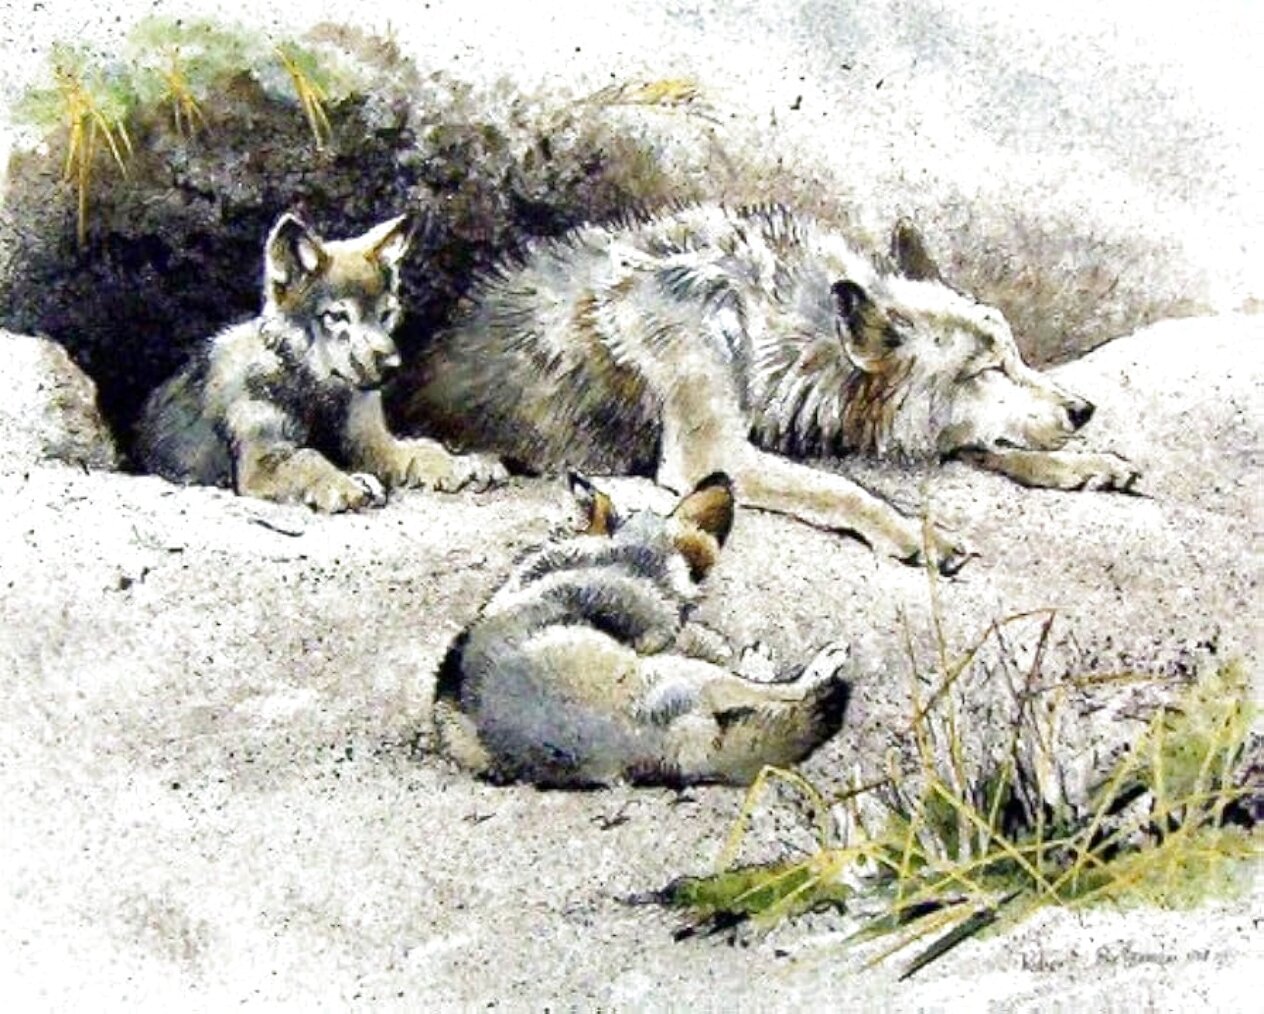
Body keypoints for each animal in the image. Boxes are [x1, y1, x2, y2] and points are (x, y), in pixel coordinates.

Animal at [137, 212, 505, 511]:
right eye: (338, 316)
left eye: (386, 314)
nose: (392, 365)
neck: (316, 394)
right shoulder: (259, 464)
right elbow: (309, 457)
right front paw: (344, 483)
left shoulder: (374, 443)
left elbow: (419, 448)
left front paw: (461, 463)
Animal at [398, 204, 1138, 570]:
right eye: (984, 371)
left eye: (1015, 354)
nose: (1084, 409)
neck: (762, 325)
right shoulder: (712, 455)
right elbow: (845, 489)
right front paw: (918, 534)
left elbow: (992, 445)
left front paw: (1087, 463)